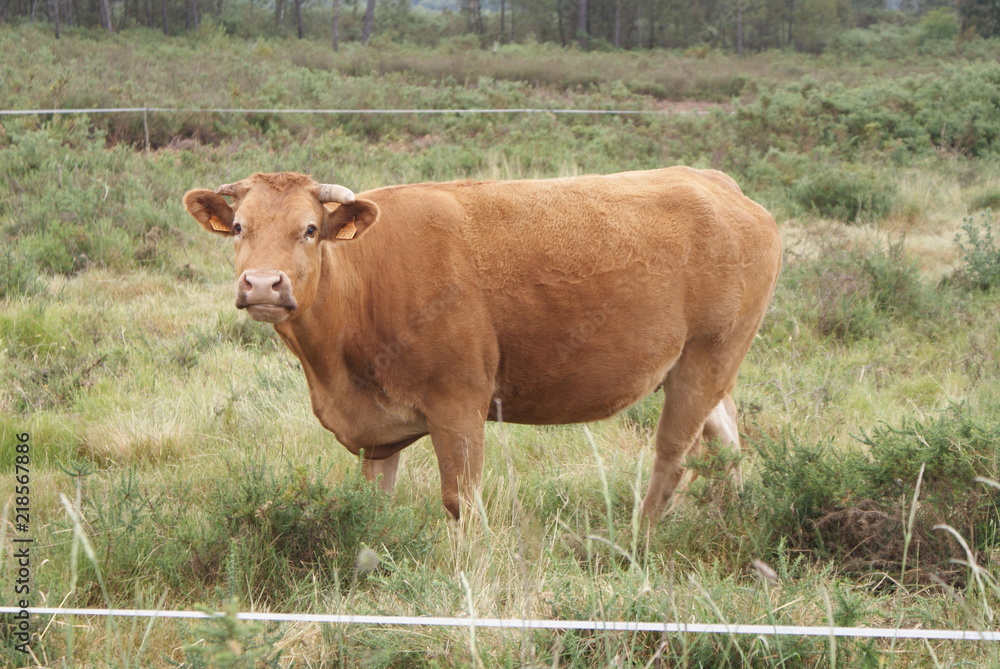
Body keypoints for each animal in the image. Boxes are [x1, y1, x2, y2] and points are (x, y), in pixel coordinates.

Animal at [183, 168, 781, 523]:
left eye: (309, 229)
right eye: (238, 227)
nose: (264, 284)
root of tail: (713, 180)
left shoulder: (458, 404)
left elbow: (461, 503)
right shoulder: (378, 430)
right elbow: (374, 503)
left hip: (707, 357)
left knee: (675, 453)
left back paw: (639, 537)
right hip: (702, 369)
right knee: (726, 441)